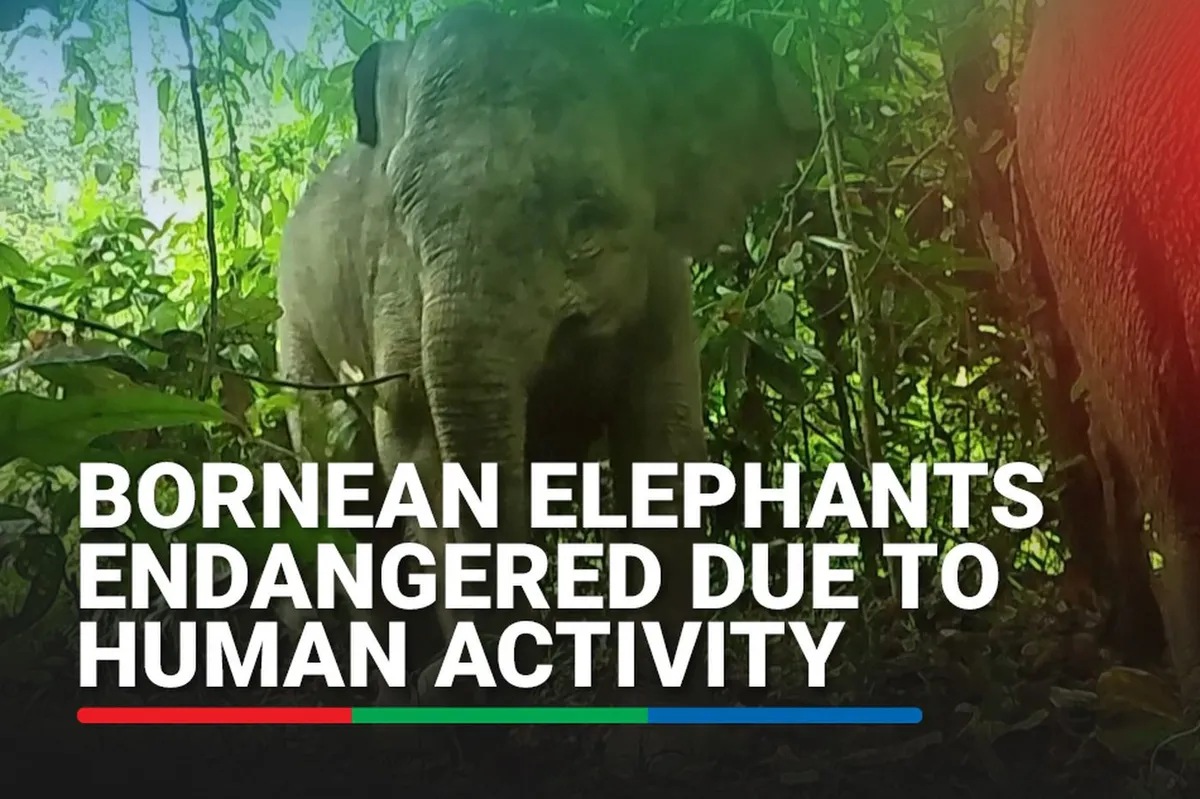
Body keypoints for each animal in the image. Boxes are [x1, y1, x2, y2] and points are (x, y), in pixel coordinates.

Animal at [276, 1, 816, 735]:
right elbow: (414, 451)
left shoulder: (662, 291)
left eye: (587, 222)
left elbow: (665, 439)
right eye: (403, 219)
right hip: (295, 344)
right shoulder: (394, 300)